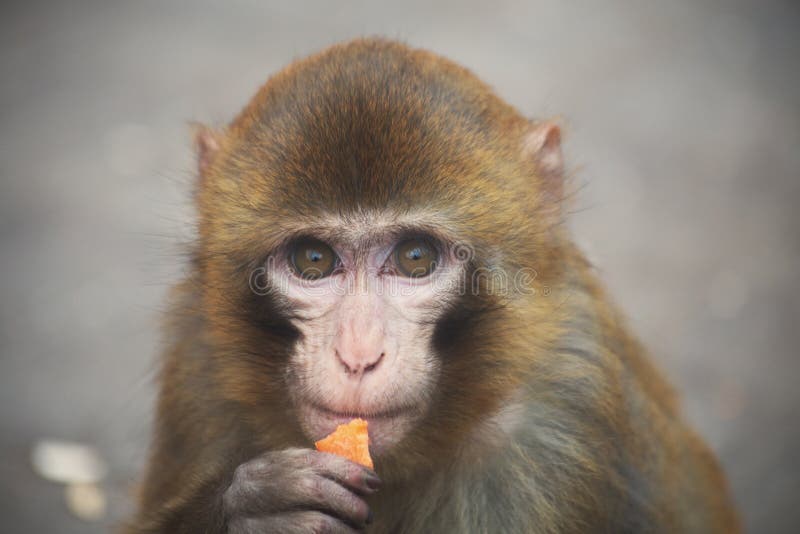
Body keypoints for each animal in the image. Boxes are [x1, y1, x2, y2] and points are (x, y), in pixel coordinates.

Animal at [126, 38, 739, 533]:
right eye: (313, 259)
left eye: (415, 258)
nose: (358, 356)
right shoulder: (202, 365)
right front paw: (251, 511)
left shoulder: (568, 414)